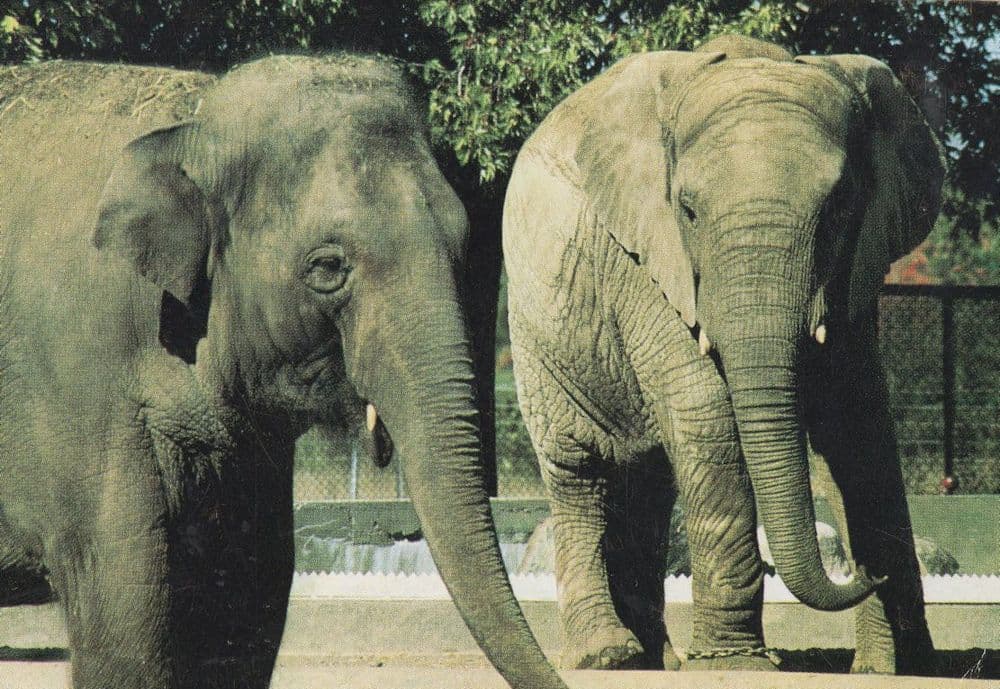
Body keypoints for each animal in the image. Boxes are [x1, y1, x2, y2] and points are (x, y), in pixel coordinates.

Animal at [0, 56, 566, 689]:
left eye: (463, 244)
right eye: (327, 267)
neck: (194, 126)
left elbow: (253, 598)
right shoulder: (81, 380)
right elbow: (125, 619)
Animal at [503, 34, 944, 674]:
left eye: (839, 209)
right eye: (687, 211)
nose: (866, 570)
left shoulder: (856, 271)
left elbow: (857, 424)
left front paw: (894, 668)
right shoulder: (644, 264)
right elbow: (709, 413)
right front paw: (734, 664)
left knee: (647, 479)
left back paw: (655, 659)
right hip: (536, 325)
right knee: (580, 469)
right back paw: (607, 655)